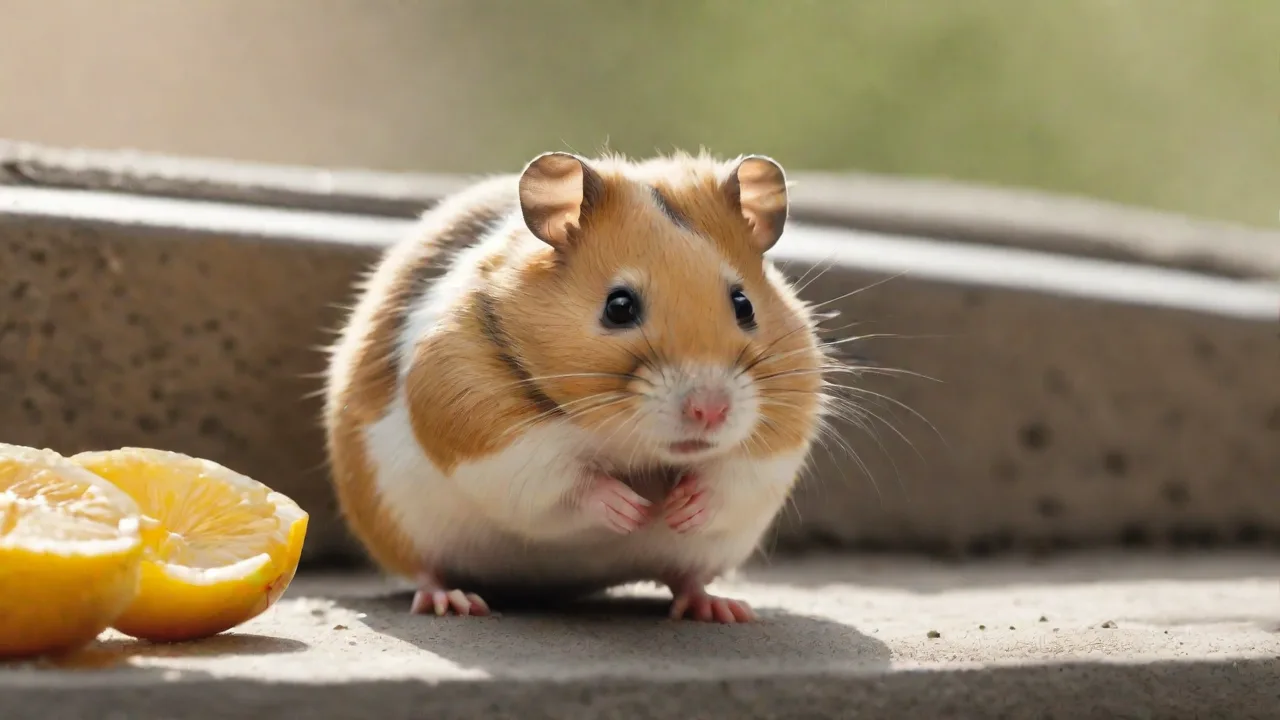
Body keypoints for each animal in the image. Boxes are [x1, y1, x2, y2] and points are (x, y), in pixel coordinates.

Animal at [323, 150, 826, 623]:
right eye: (618, 306)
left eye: (744, 305)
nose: (711, 411)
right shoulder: (486, 430)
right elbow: (566, 479)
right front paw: (634, 510)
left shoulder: (777, 444)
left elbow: (730, 481)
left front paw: (681, 508)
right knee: (426, 571)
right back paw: (453, 601)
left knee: (688, 579)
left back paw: (722, 609)